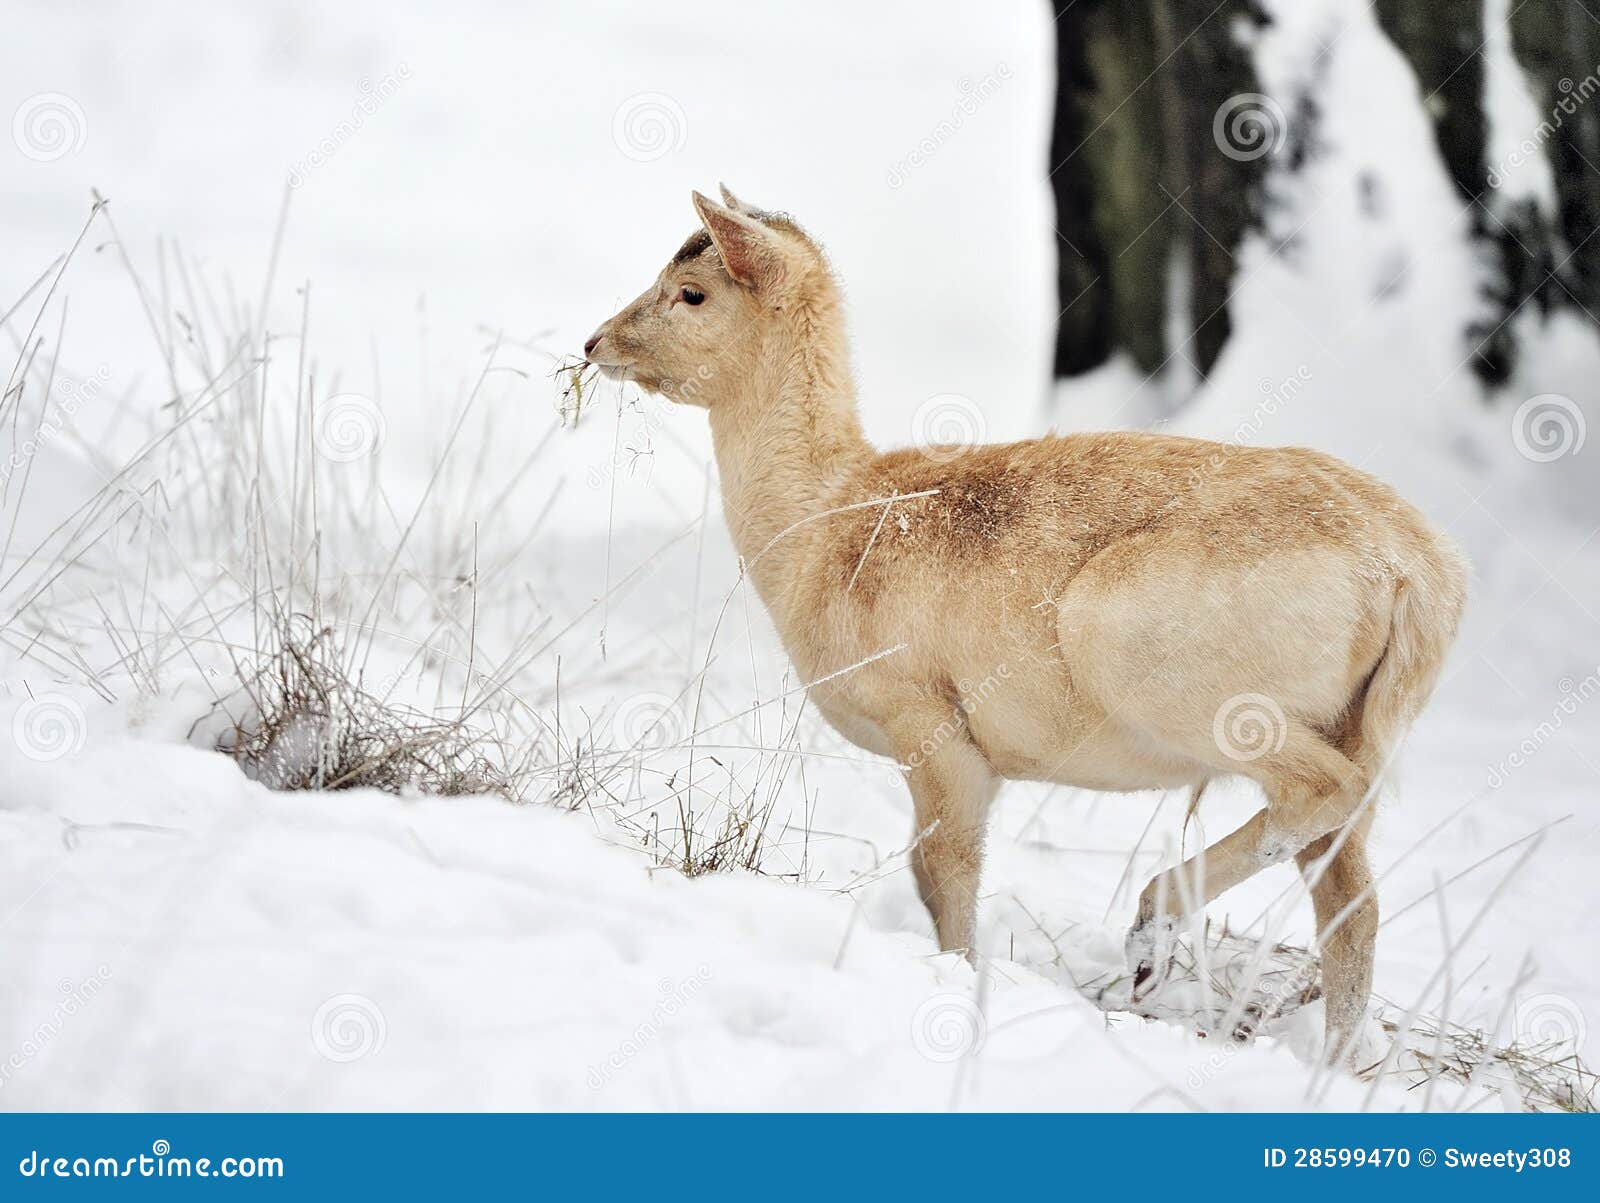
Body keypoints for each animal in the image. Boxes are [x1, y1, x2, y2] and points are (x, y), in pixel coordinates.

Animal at [581, 186, 1469, 1067]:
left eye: (691, 292)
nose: (595, 341)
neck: (826, 522)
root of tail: (1419, 576)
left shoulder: (928, 716)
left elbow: (940, 868)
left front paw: (959, 971)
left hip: (1166, 667)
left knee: (1329, 793)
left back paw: (1152, 930)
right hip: (1354, 714)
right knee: (1352, 899)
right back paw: (1332, 1059)